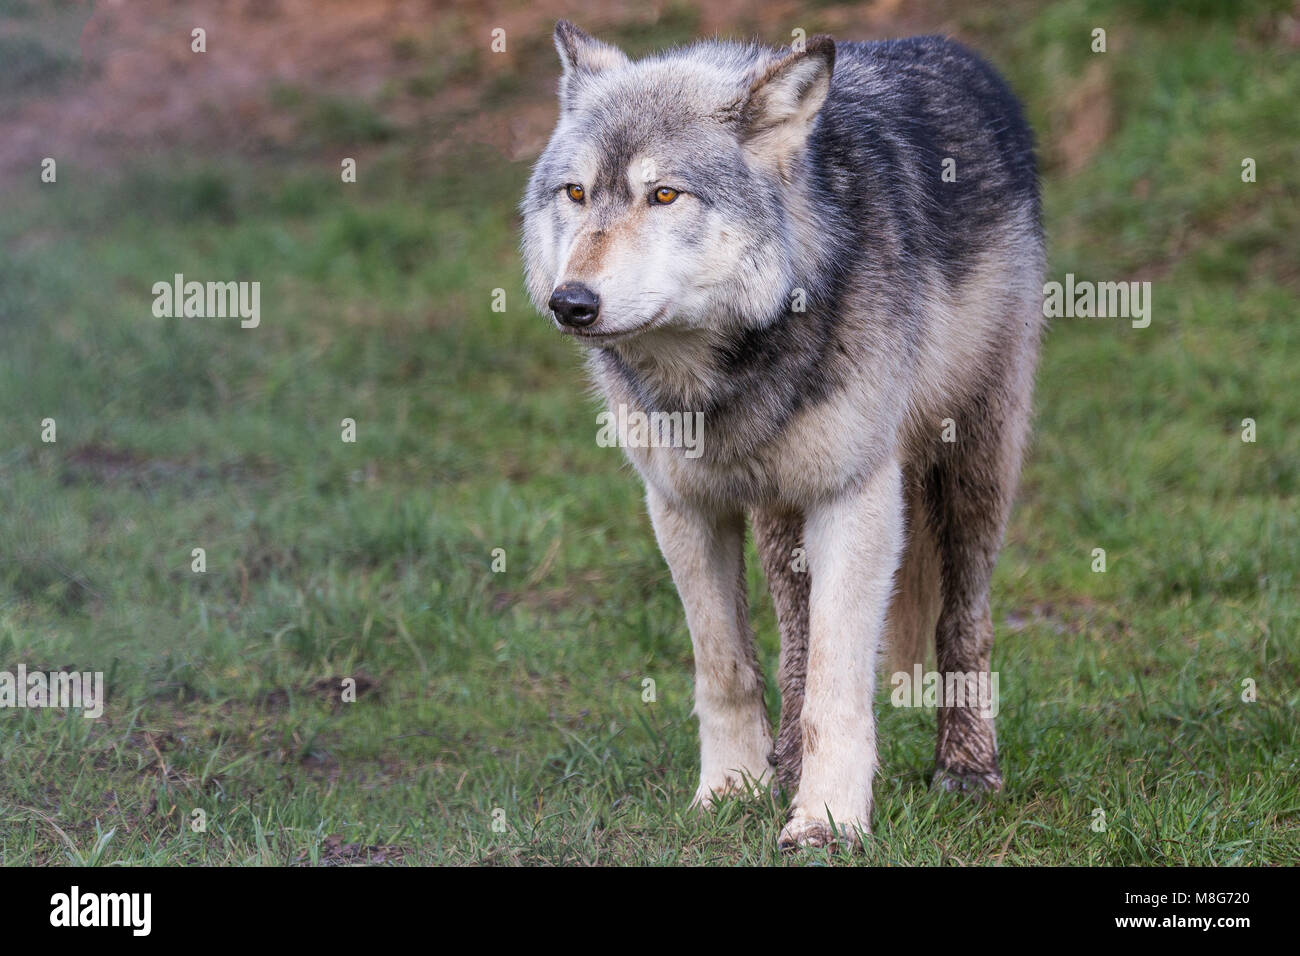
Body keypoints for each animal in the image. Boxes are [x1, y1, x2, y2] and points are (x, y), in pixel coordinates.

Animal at [520, 20, 1044, 849]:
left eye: (663, 194)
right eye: (574, 193)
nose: (570, 302)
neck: (728, 368)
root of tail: (947, 47)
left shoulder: (855, 499)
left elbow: (838, 683)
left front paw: (828, 820)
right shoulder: (681, 506)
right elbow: (727, 668)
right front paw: (732, 789)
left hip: (974, 469)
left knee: (967, 621)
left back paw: (965, 767)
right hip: (778, 509)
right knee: (793, 633)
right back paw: (785, 763)